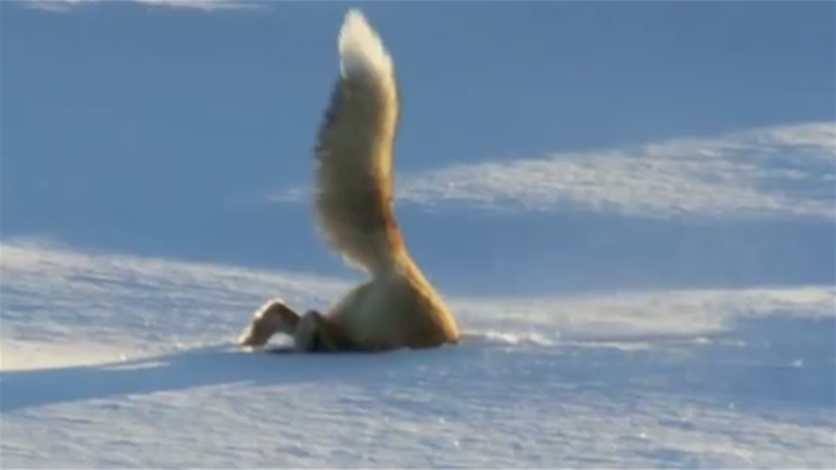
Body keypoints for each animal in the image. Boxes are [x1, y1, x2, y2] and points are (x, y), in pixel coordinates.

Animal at [236, 9, 461, 353]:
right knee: (306, 321)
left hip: (337, 319)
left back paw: (253, 339)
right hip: (344, 328)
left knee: (285, 313)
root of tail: (402, 268)